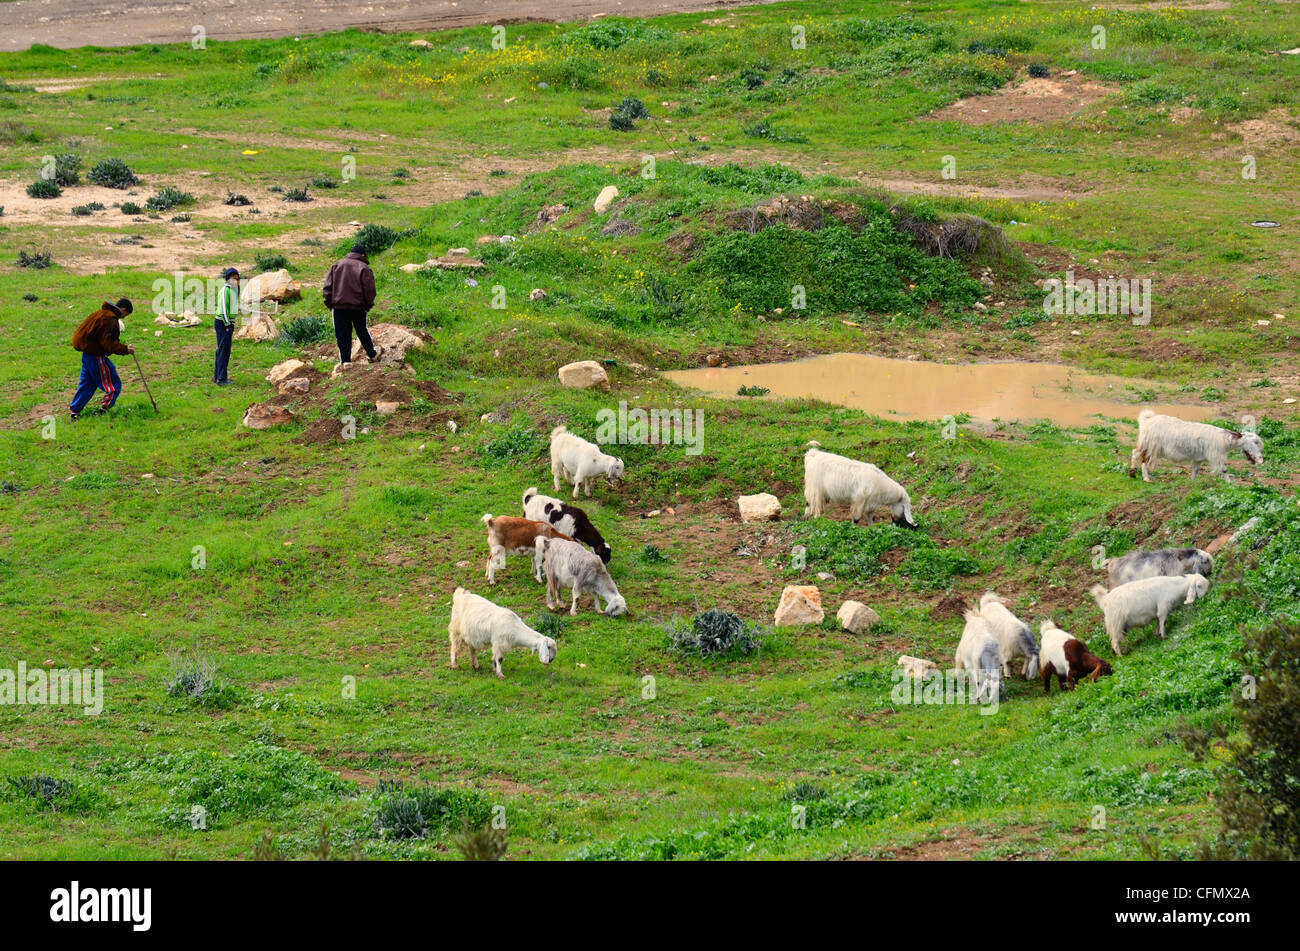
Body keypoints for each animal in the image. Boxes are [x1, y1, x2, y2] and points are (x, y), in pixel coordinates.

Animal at [1129, 410, 1263, 483]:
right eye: (1255, 442)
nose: (1261, 460)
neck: (1225, 440)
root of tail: (1147, 420)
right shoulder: (1216, 456)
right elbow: (1224, 470)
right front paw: (1230, 484)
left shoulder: (1198, 458)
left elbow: (1195, 470)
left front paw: (1192, 481)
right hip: (1150, 445)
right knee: (1141, 457)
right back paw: (1145, 478)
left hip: (1148, 444)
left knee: (1136, 453)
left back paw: (1133, 473)